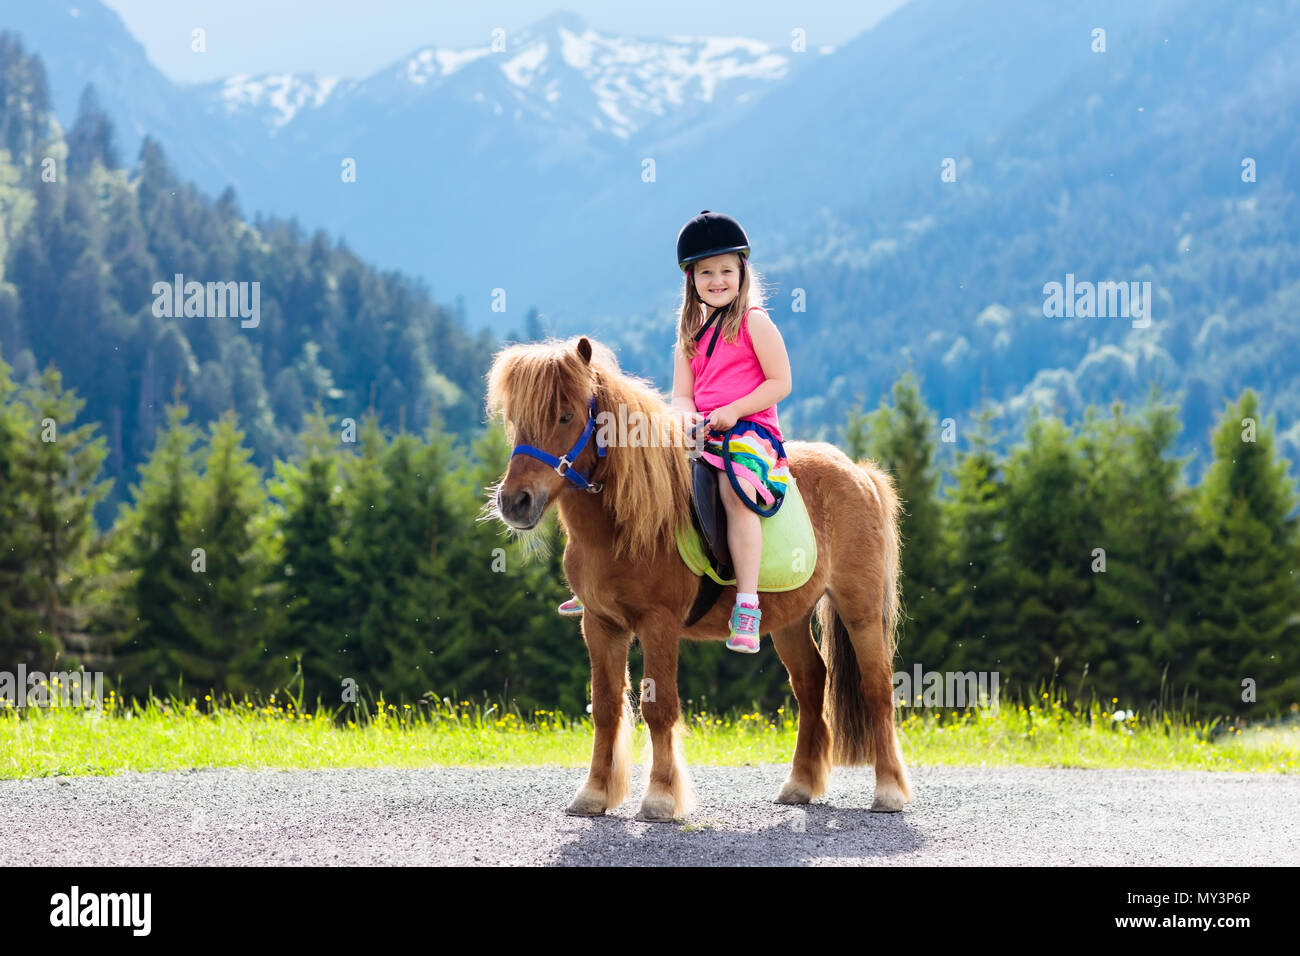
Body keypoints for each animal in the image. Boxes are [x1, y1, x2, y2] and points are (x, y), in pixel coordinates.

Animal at [485, 335, 912, 822]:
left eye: (566, 415)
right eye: (516, 419)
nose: (515, 502)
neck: (625, 523)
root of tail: (860, 472)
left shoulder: (658, 624)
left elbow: (659, 708)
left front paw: (659, 798)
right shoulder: (600, 624)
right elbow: (607, 707)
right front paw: (594, 794)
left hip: (859, 609)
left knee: (876, 687)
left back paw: (889, 790)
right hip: (788, 620)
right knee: (810, 683)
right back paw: (799, 784)